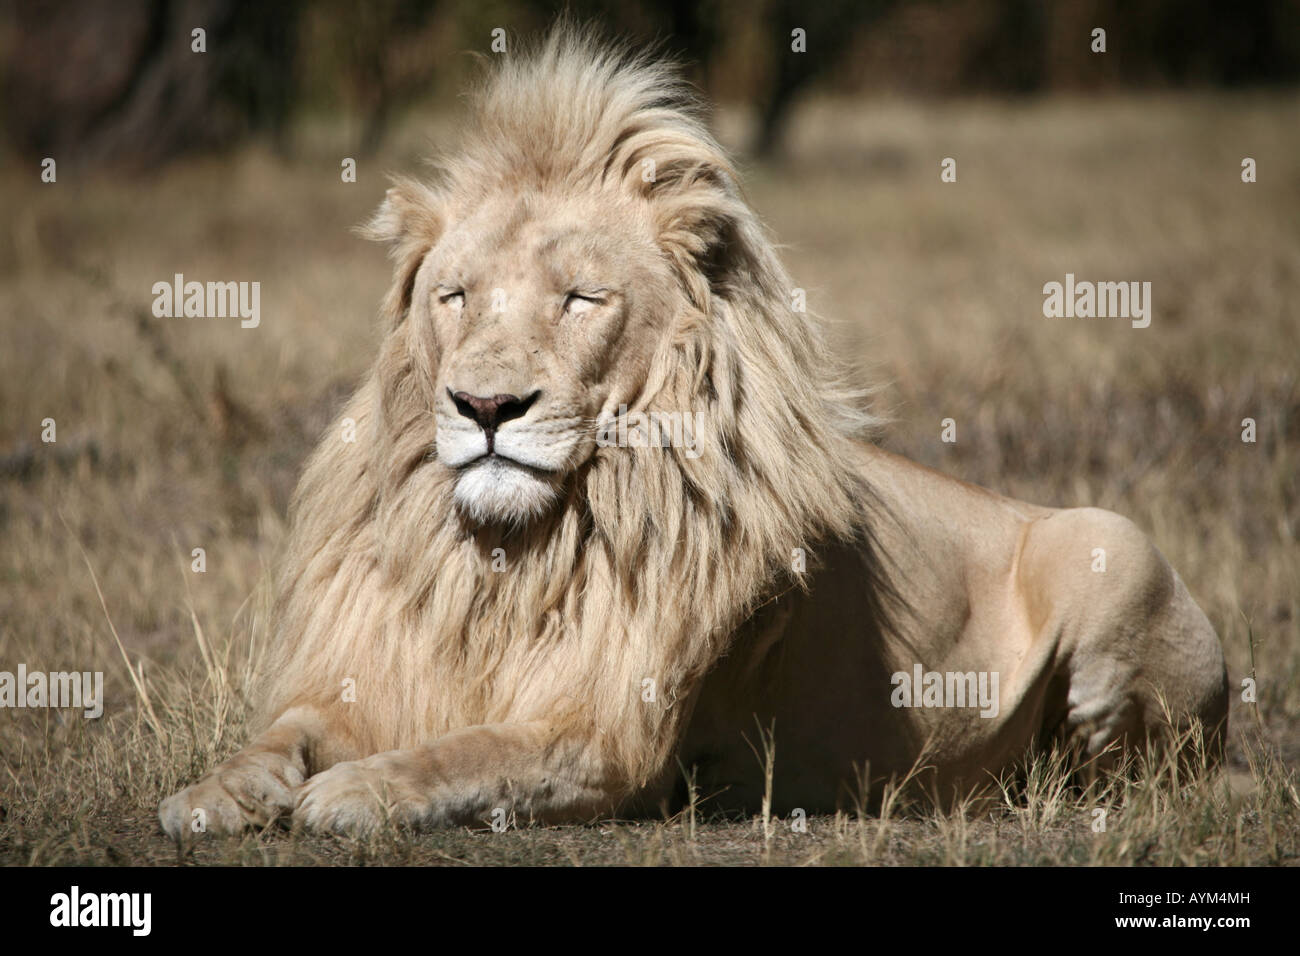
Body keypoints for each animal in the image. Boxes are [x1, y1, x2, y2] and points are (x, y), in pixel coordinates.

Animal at [159, 26, 1228, 838]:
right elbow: (278, 739)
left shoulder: (605, 743)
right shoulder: (366, 677)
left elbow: (466, 752)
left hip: (1111, 546)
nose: (485, 408)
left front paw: (356, 791)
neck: (511, 554)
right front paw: (206, 797)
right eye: (455, 297)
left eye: (582, 300)